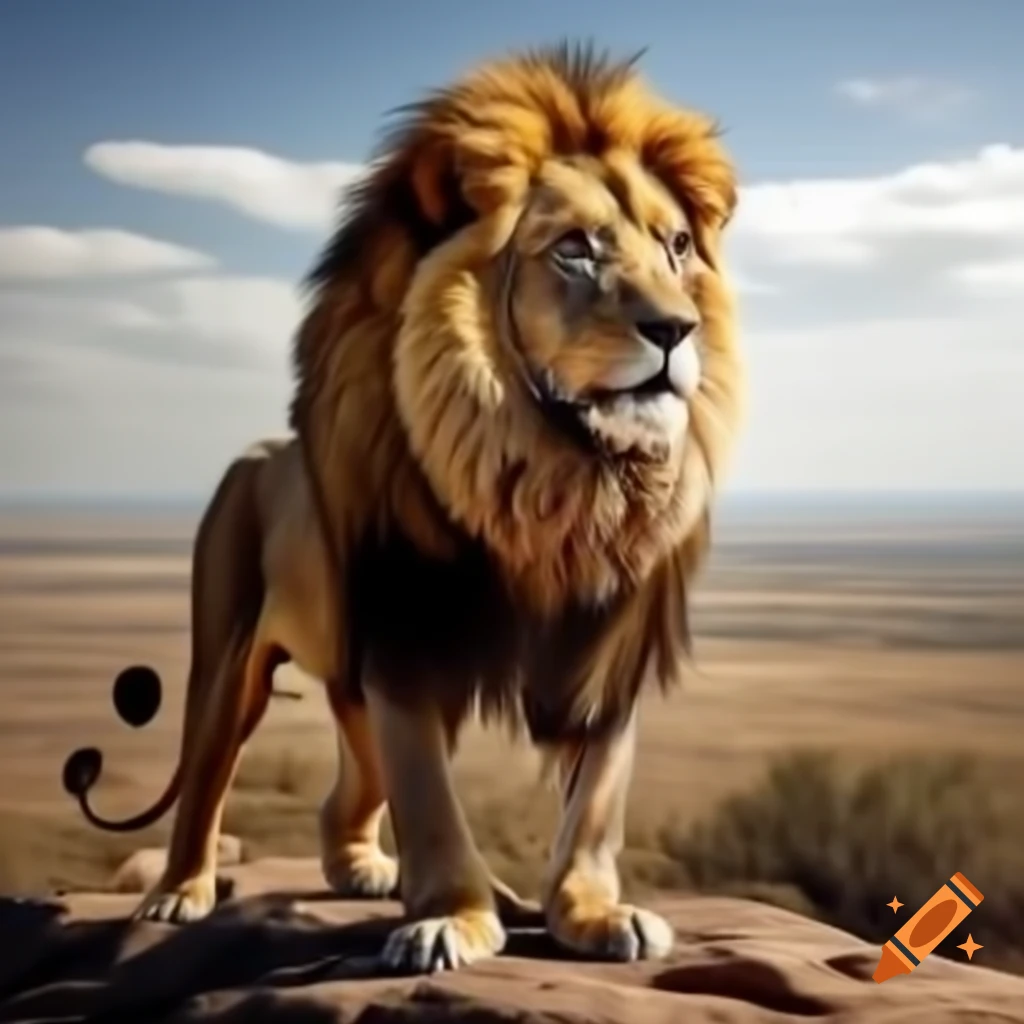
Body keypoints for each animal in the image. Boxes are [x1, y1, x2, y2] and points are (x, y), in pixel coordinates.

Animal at [64, 43, 743, 973]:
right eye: (574, 250)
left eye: (677, 246)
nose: (676, 330)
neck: (557, 483)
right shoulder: (406, 641)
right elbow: (430, 799)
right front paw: (453, 918)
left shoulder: (605, 648)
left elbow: (595, 801)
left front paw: (593, 912)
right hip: (229, 653)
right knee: (208, 771)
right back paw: (179, 893)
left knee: (349, 786)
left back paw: (372, 872)